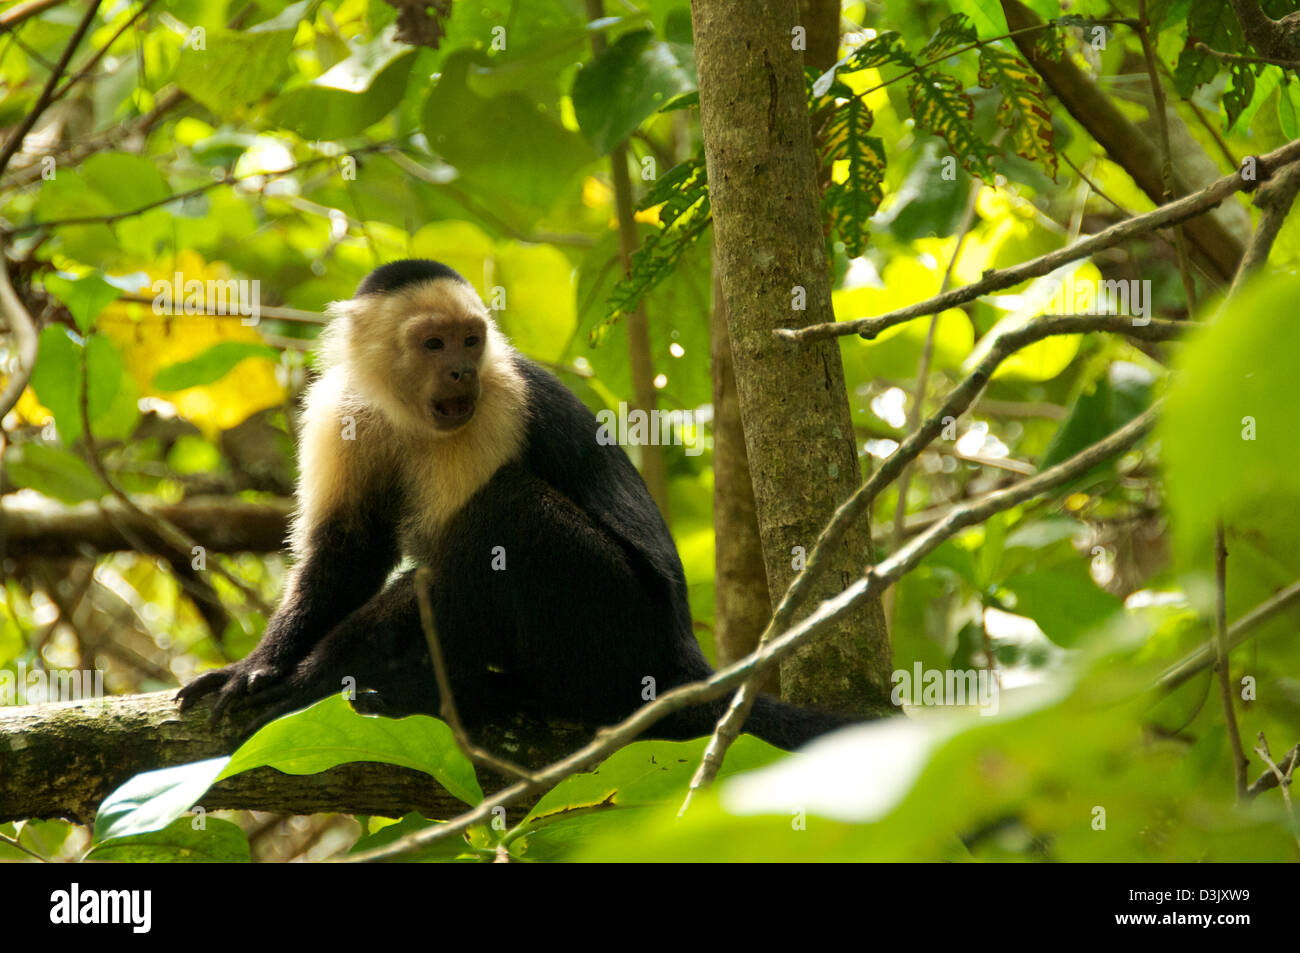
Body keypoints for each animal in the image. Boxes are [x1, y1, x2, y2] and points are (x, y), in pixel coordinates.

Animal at [177, 259, 857, 750]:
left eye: (470, 341)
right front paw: (261, 665)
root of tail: (687, 664)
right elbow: (344, 555)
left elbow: (446, 575)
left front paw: (310, 676)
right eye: (434, 344)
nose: (460, 373)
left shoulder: (493, 409)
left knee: (504, 517)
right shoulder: (339, 411)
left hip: (625, 633)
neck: (406, 412)